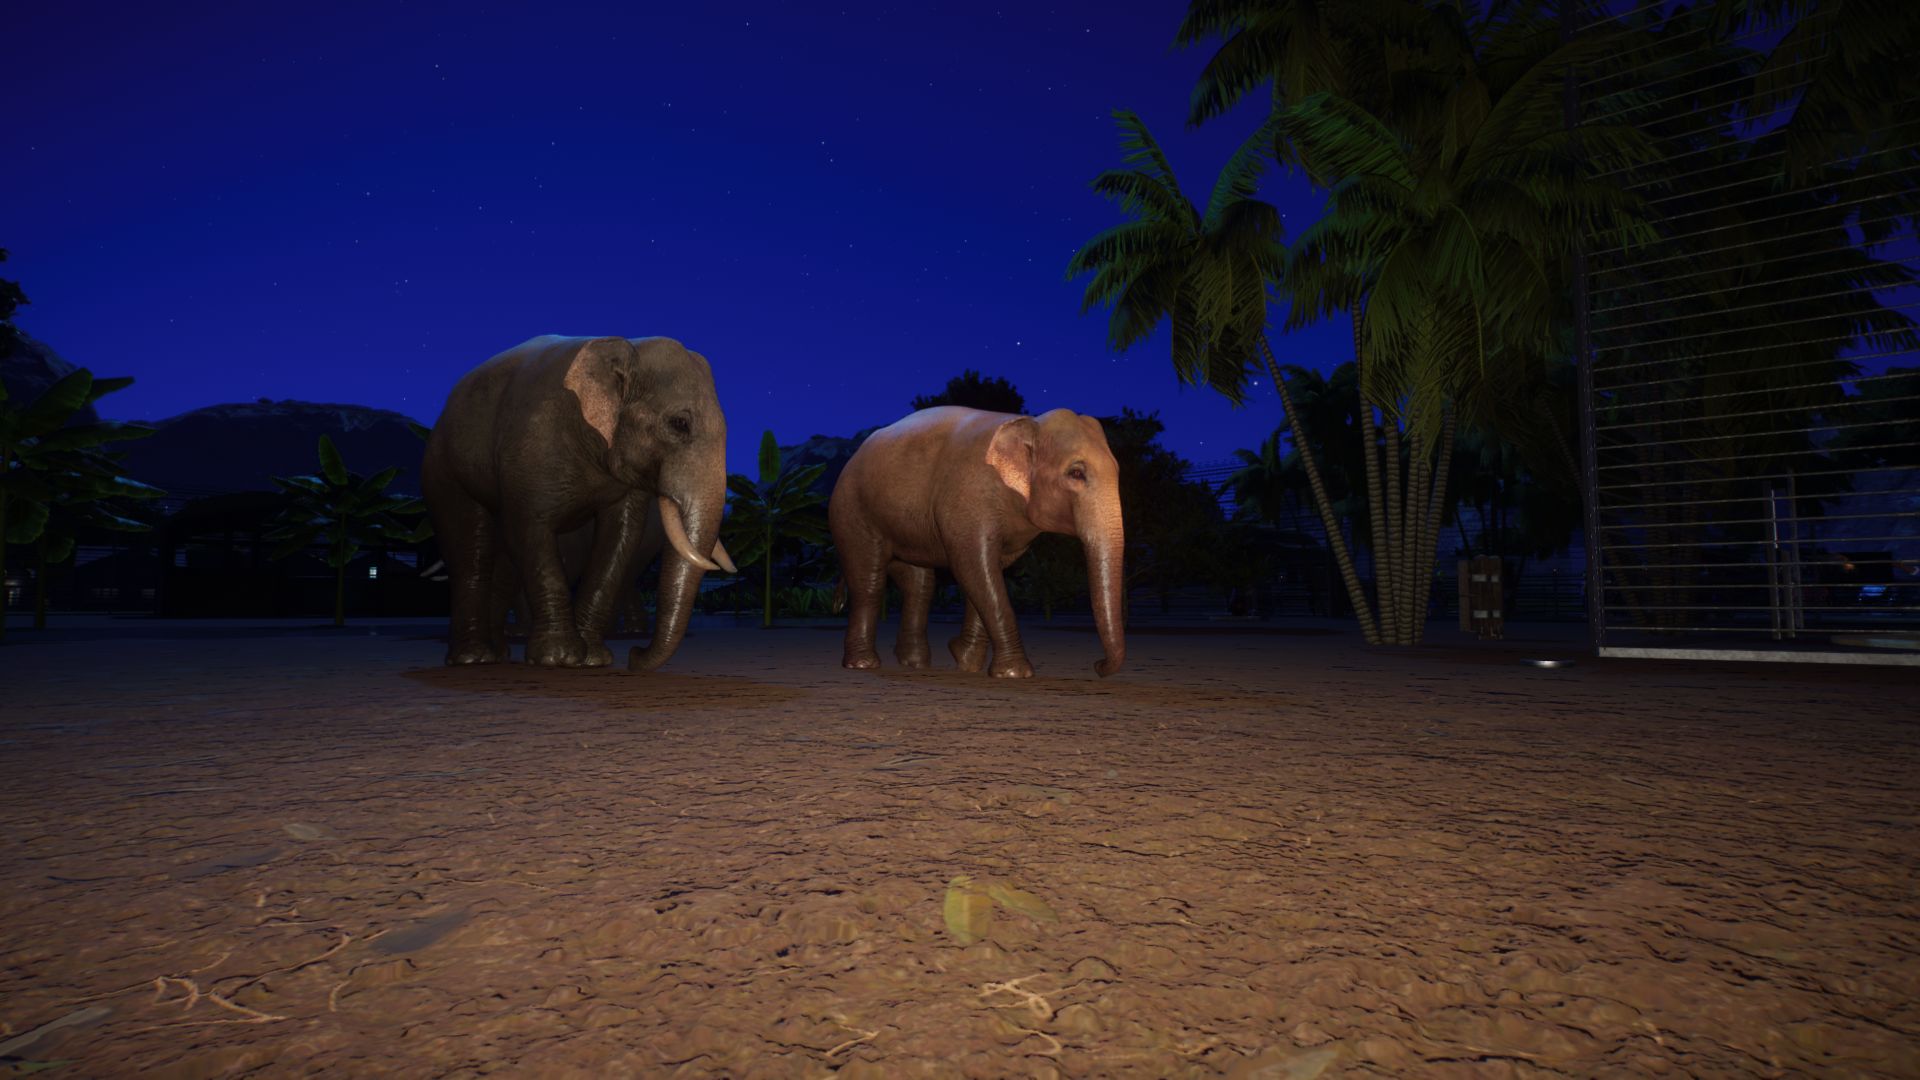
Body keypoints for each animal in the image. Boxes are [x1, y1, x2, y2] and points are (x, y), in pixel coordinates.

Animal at [421, 334, 734, 669]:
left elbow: (620, 536)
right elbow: (531, 529)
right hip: (442, 469)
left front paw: (593, 659)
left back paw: (498, 653)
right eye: (679, 424)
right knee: (472, 549)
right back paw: (474, 658)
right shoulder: (533, 445)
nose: (634, 655)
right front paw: (558, 658)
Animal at [829, 406, 1126, 678]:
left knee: (919, 584)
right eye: (1076, 473)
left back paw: (914, 663)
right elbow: (973, 566)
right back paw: (863, 664)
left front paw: (965, 661)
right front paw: (1014, 673)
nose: (1098, 666)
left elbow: (987, 571)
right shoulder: (969, 500)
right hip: (852, 512)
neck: (1026, 423)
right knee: (869, 580)